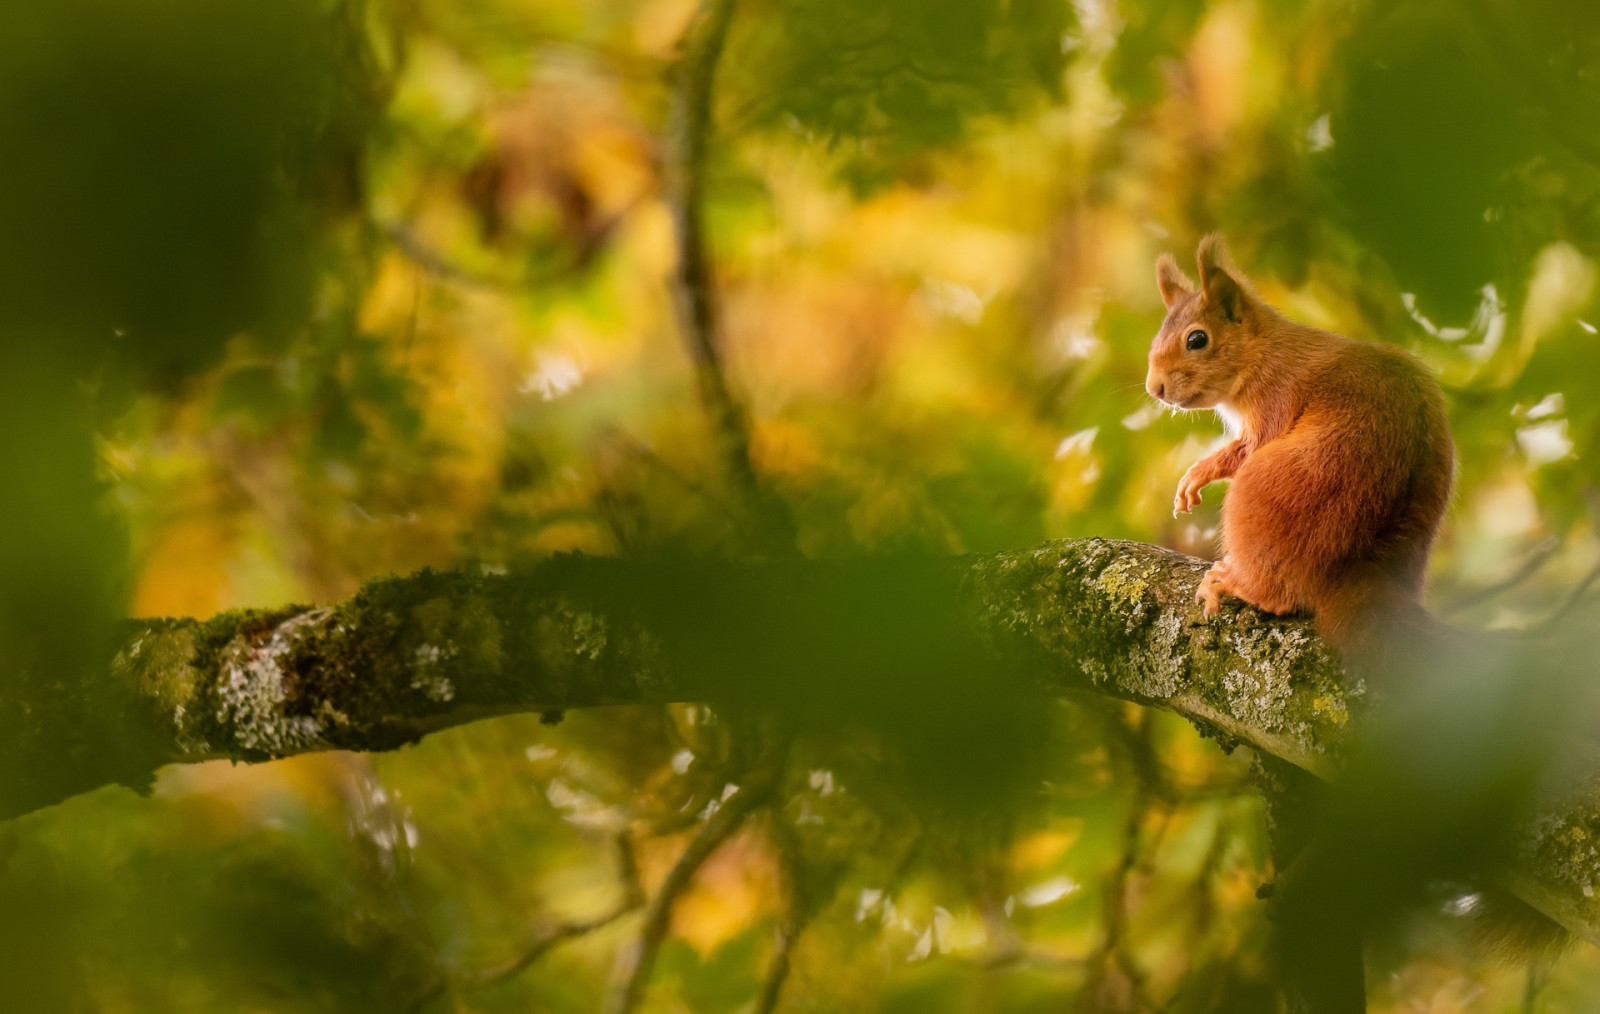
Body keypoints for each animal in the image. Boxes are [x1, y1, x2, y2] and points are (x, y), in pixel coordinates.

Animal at [1143, 234, 1455, 654]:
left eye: (1197, 339)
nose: (1154, 388)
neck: (1264, 351)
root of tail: (1354, 568)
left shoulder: (1277, 396)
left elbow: (1248, 448)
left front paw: (1198, 473)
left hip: (1265, 492)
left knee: (1280, 596)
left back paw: (1237, 584)